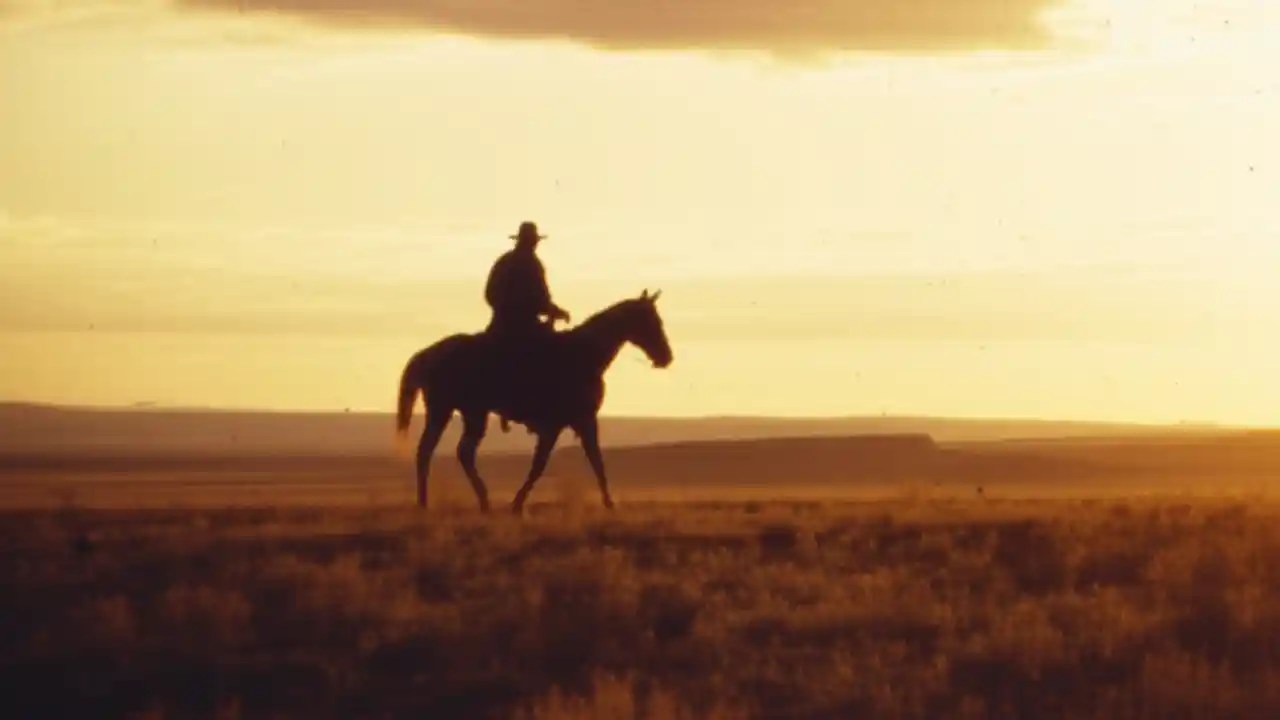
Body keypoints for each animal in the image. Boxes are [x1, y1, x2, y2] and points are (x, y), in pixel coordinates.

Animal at [395, 290, 673, 513]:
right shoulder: (566, 423)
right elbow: (543, 465)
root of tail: (428, 353)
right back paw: (451, 501)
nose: (666, 357)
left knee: (444, 451)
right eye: (652, 321)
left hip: (461, 413)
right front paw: (518, 503)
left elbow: (593, 460)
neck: (584, 354)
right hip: (454, 411)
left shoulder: (576, 422)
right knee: (443, 451)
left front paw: (608, 502)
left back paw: (454, 501)